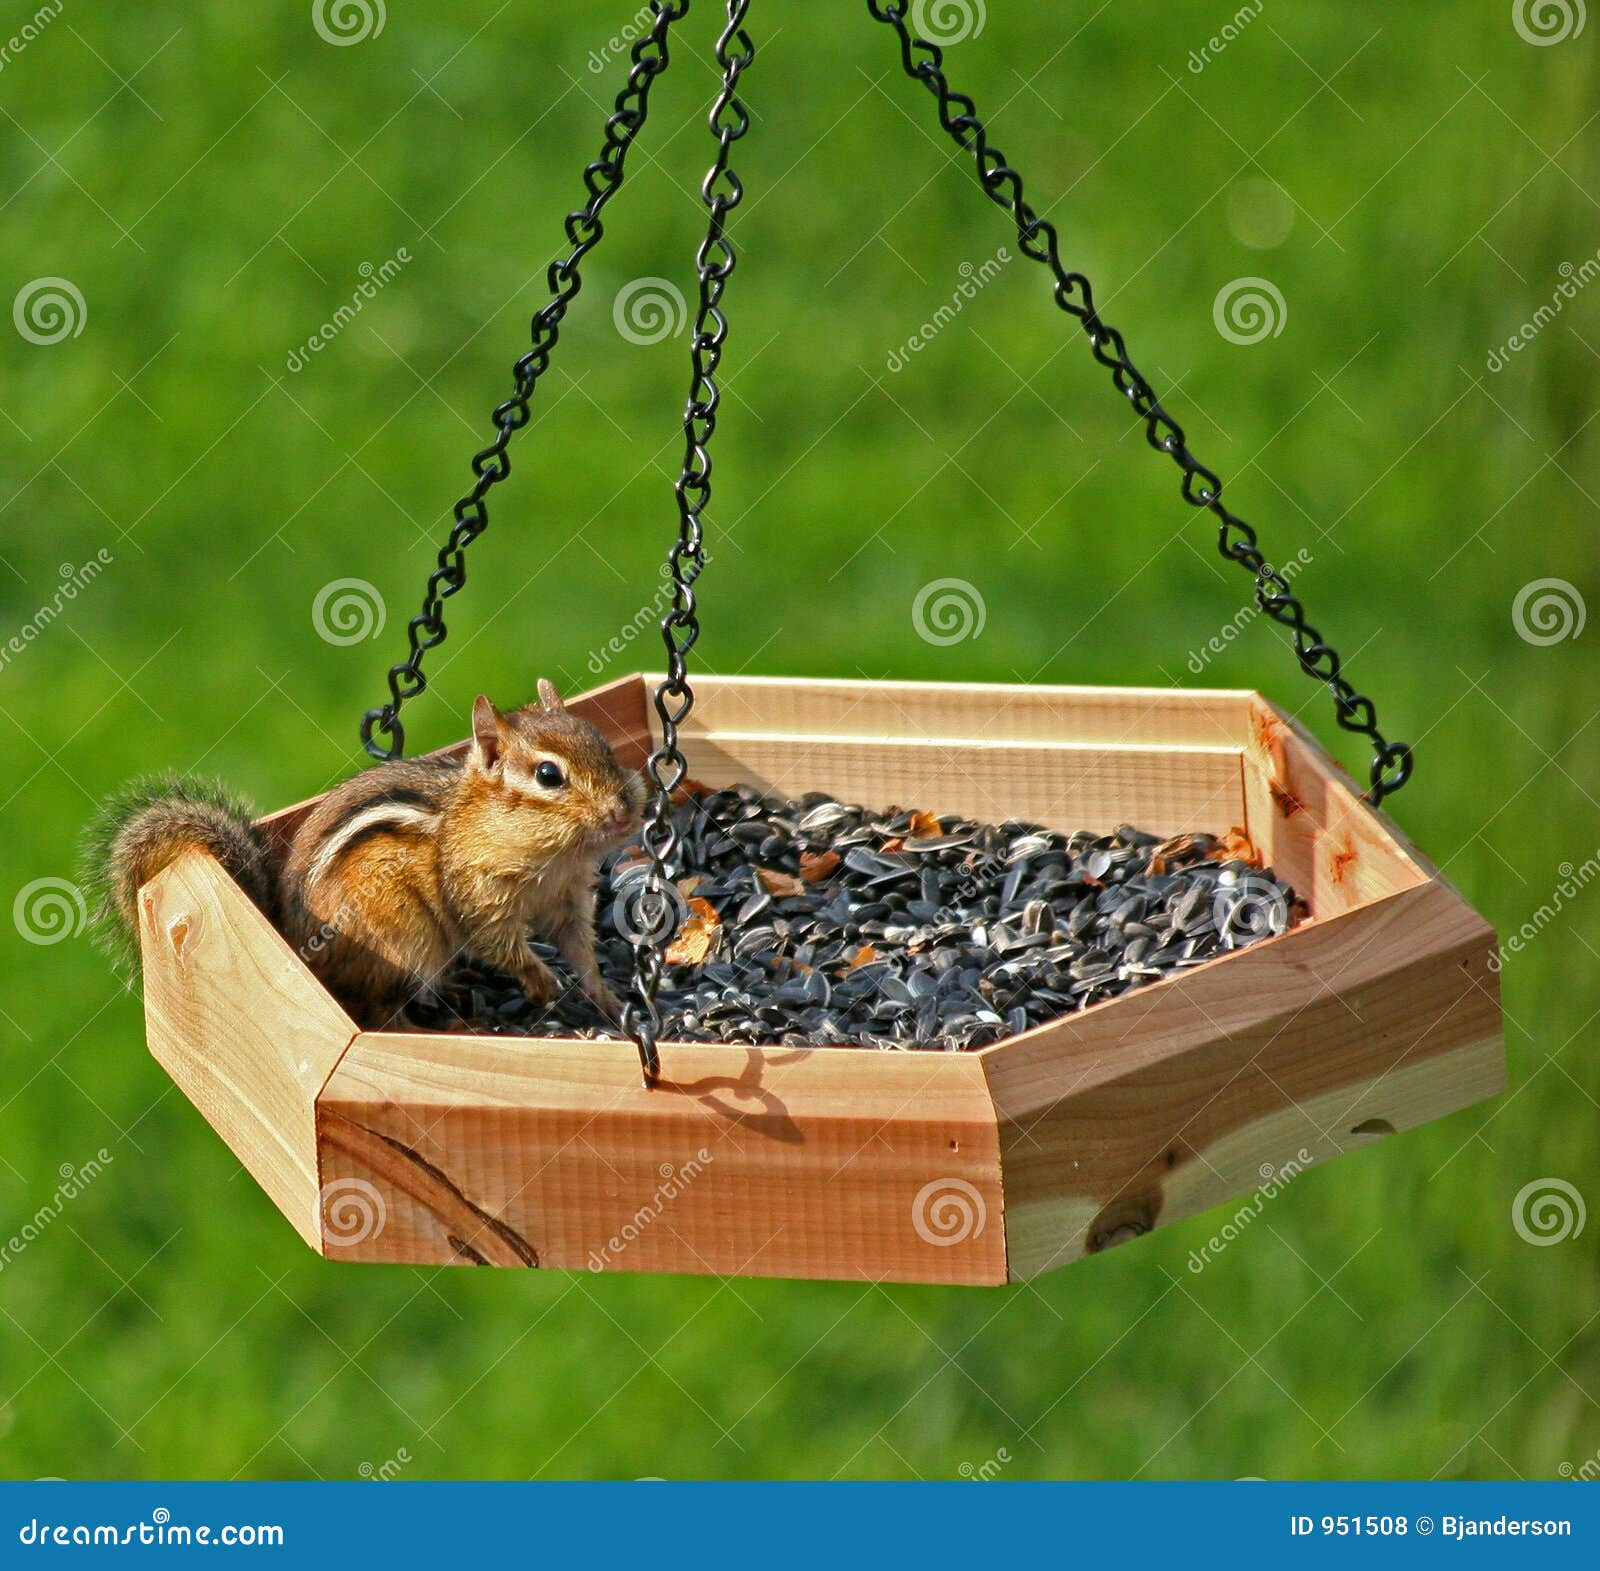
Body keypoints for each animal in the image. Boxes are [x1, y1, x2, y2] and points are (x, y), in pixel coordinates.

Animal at [85, 681, 646, 1029]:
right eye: (549, 775)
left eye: (603, 743)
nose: (624, 809)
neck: (553, 858)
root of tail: (291, 941)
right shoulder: (479, 893)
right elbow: (500, 942)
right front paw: (541, 981)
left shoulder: (567, 899)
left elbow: (579, 947)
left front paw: (607, 998)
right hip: (401, 934)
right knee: (382, 1015)